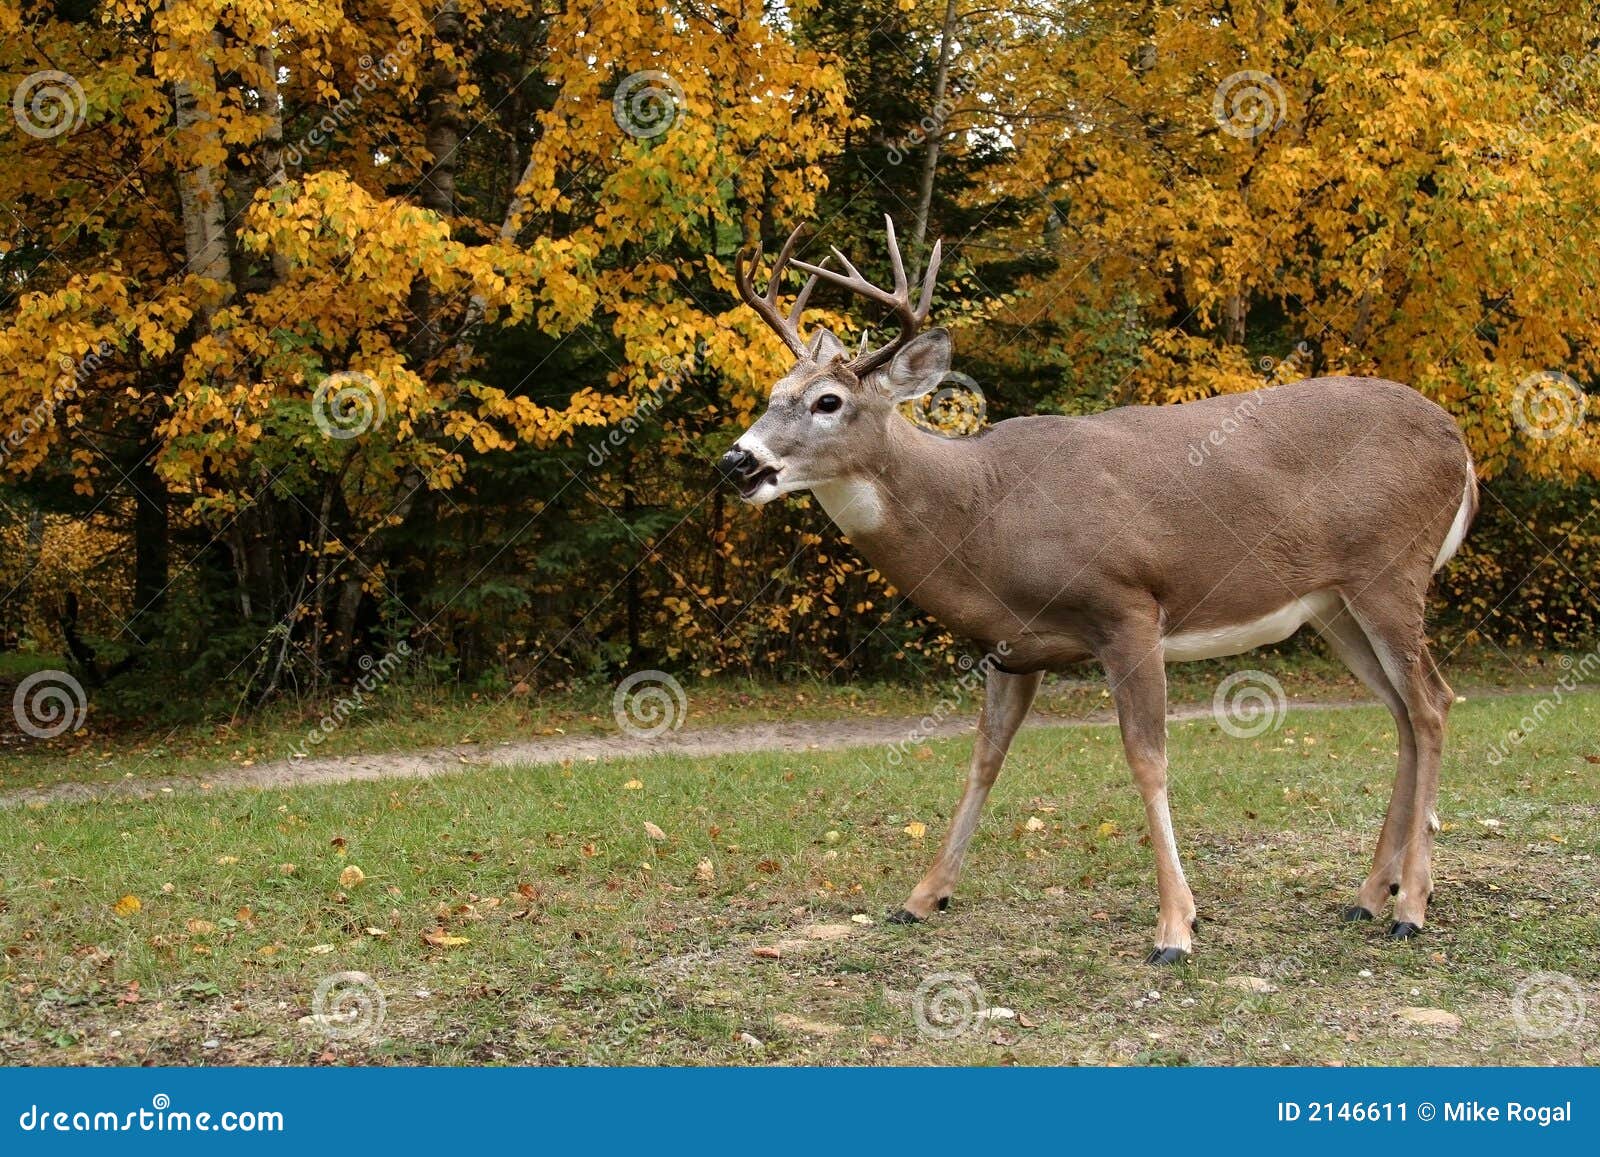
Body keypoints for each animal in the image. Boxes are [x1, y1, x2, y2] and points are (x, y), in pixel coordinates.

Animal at [720, 216, 1478, 964]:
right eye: (771, 395)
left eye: (829, 401)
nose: (737, 461)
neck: (984, 512)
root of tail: (1461, 444)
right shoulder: (1010, 648)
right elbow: (983, 760)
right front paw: (922, 896)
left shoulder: (1129, 608)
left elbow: (1147, 760)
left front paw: (1176, 927)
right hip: (1335, 604)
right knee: (1402, 713)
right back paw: (1370, 894)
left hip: (1391, 570)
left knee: (1432, 703)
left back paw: (1410, 906)